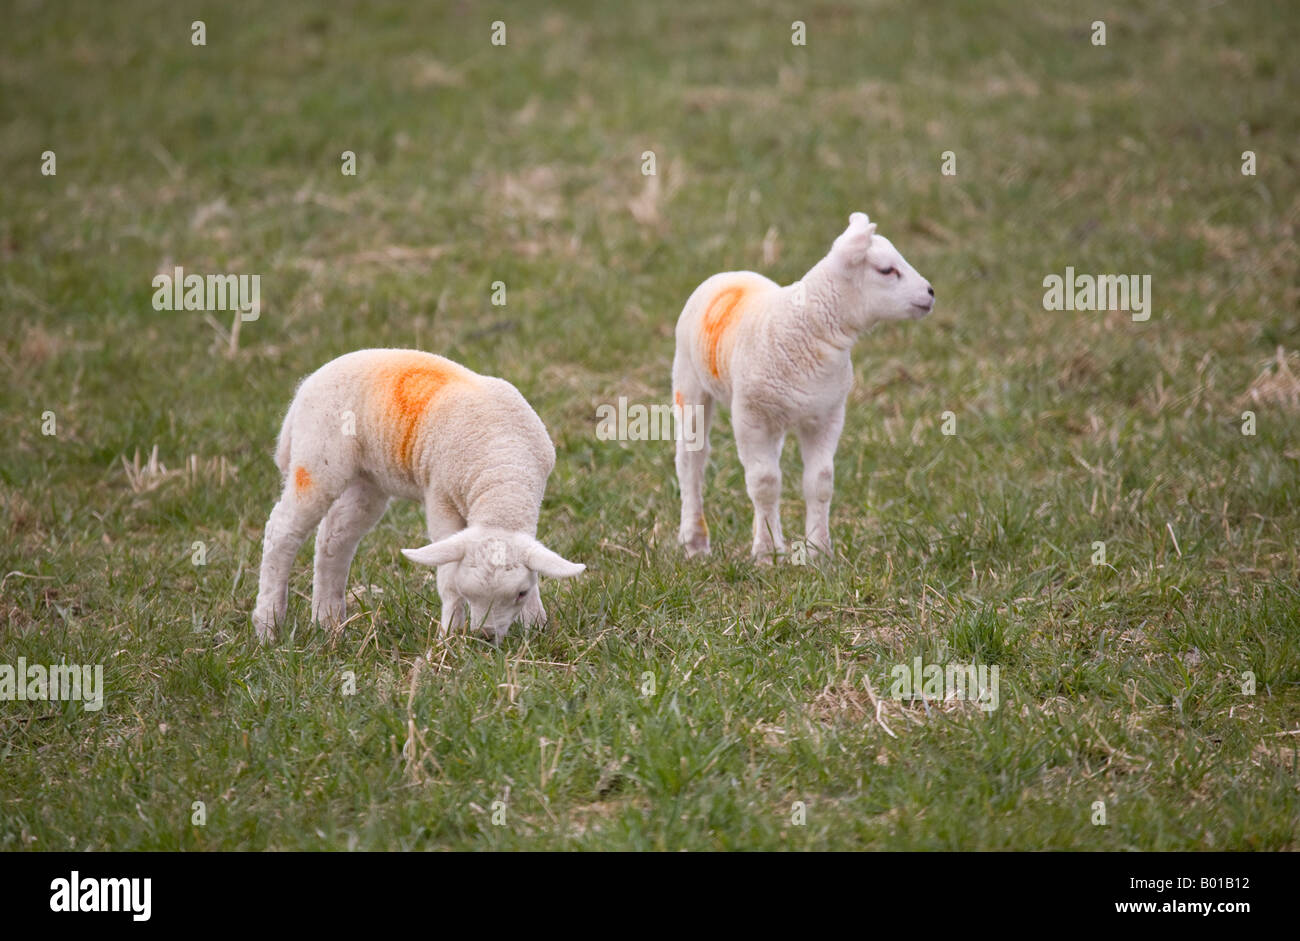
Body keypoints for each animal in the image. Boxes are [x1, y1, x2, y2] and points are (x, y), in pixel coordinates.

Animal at [251, 349, 584, 643]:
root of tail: (305, 386)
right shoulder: (440, 496)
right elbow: (447, 578)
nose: (487, 636)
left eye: (520, 593)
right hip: (317, 457)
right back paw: (268, 627)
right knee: (282, 531)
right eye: (469, 593)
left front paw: (538, 626)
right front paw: (449, 638)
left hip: (367, 480)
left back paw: (329, 624)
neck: (500, 475)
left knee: (334, 539)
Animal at [672, 213, 935, 562]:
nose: (931, 292)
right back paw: (695, 541)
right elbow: (765, 483)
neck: (809, 324)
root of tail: (729, 273)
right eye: (886, 270)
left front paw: (818, 551)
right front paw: (766, 554)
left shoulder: (827, 415)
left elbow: (819, 482)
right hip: (689, 379)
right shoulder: (750, 416)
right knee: (692, 460)